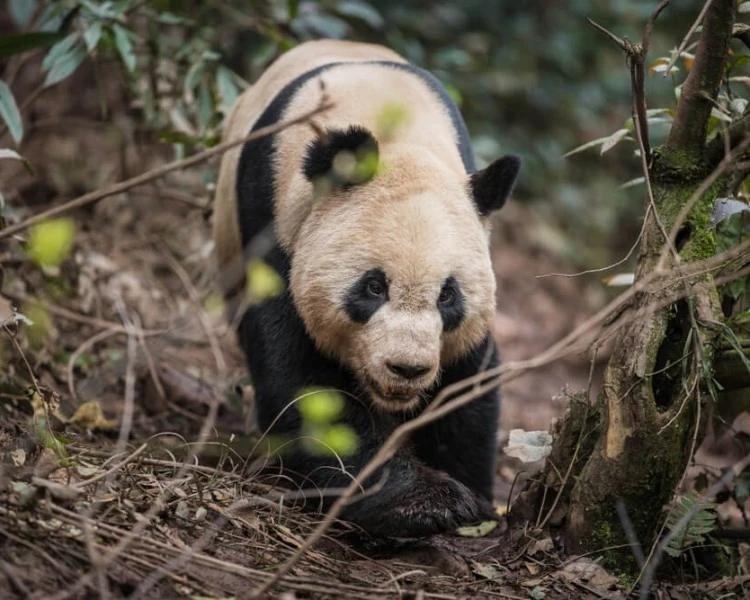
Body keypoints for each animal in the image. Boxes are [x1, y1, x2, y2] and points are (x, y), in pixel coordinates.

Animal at [213, 39, 520, 538]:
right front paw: (418, 503)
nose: (407, 368)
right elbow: (304, 379)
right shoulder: (276, 225)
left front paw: (473, 498)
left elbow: (467, 380)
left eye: (448, 295)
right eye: (374, 286)